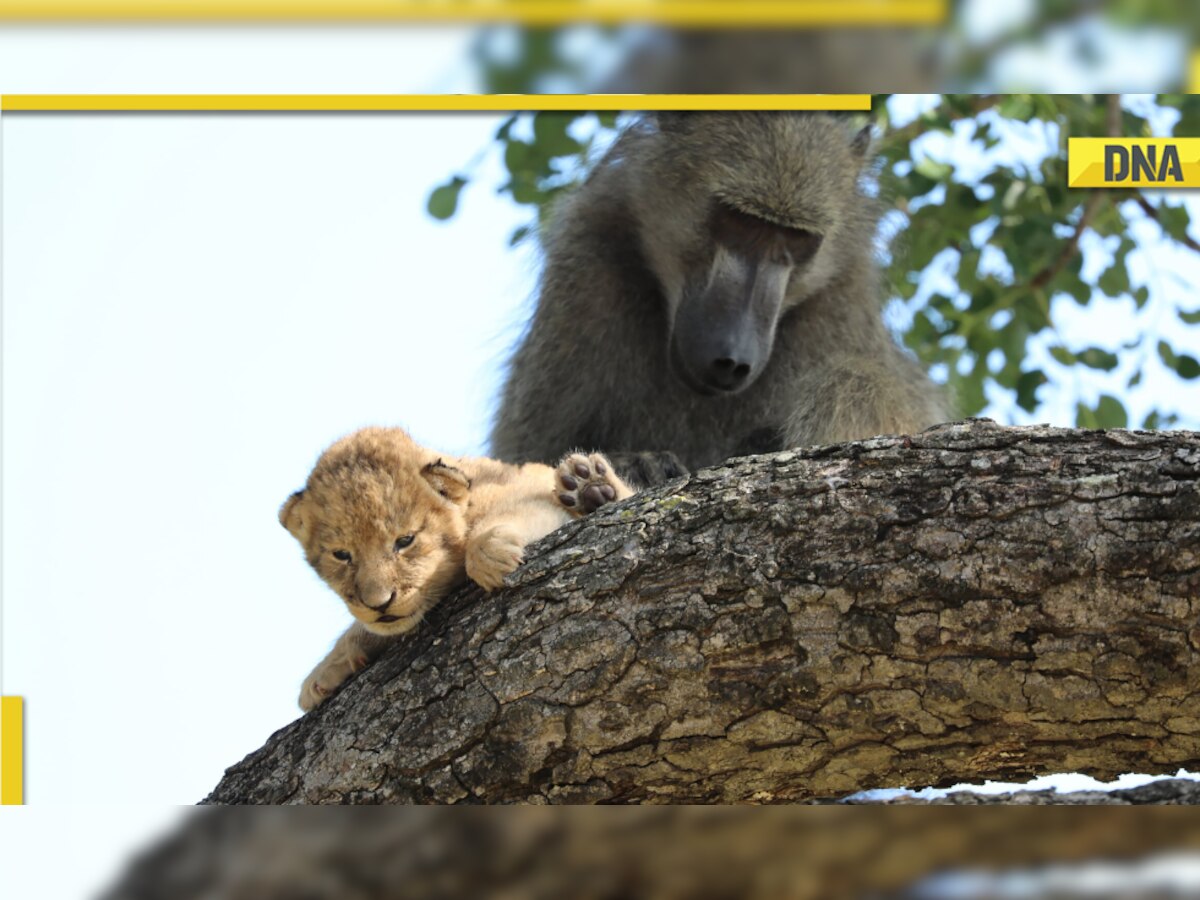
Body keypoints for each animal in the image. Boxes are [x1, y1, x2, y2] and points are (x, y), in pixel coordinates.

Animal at [280, 426, 634, 711]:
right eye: (342, 555)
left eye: (404, 541)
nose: (379, 604)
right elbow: (365, 629)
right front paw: (325, 671)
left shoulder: (522, 488)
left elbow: (518, 513)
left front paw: (491, 557)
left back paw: (590, 484)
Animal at [489, 112, 949, 484]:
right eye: (739, 220)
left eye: (796, 239)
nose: (732, 359)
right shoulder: (584, 261)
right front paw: (636, 464)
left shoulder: (841, 302)